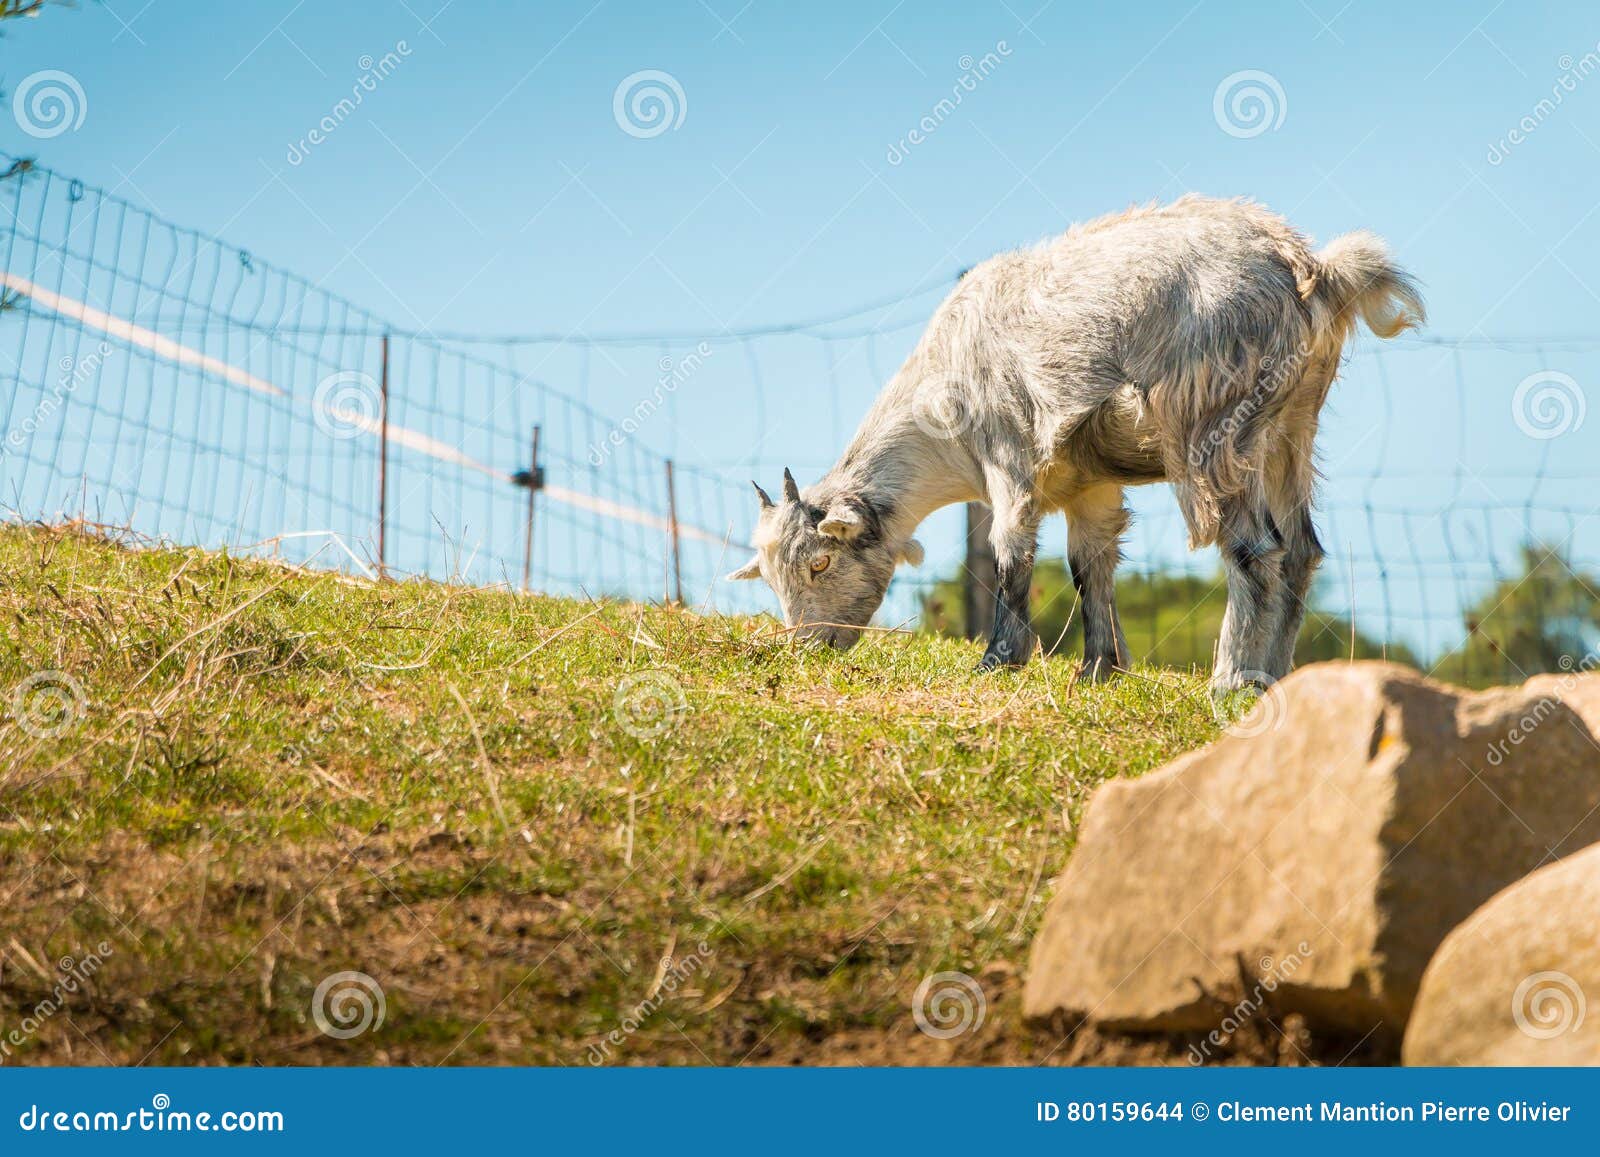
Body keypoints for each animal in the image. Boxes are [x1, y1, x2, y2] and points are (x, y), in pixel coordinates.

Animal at [728, 196, 1424, 691]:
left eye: (821, 562)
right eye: (770, 577)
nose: (809, 646)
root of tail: (1313, 271)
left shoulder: (1009, 458)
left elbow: (1010, 553)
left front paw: (999, 660)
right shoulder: (1089, 485)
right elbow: (1091, 565)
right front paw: (1098, 670)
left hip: (1213, 425)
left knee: (1256, 549)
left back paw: (1231, 681)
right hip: (1290, 430)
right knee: (1302, 550)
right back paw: (1272, 679)